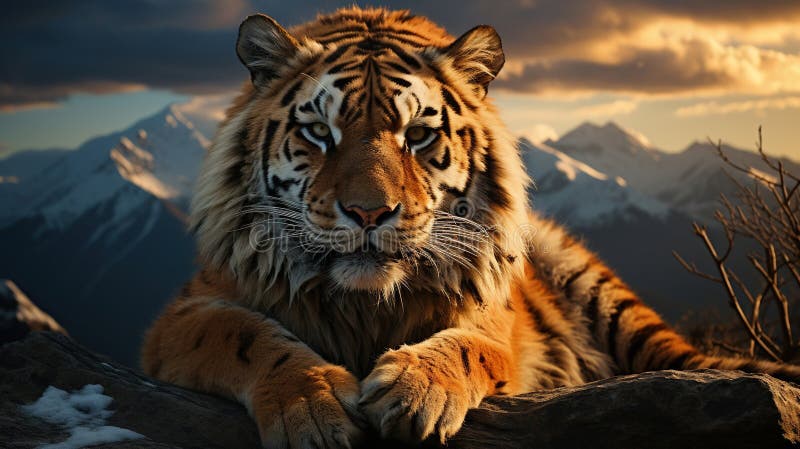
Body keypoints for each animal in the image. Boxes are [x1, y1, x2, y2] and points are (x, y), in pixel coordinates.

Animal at [141, 7, 800, 449]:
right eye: (319, 133)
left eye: (418, 135)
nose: (369, 213)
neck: (363, 307)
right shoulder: (185, 314)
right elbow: (243, 333)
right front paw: (314, 405)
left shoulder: (491, 319)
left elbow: (468, 346)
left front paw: (414, 389)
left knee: (693, 361)